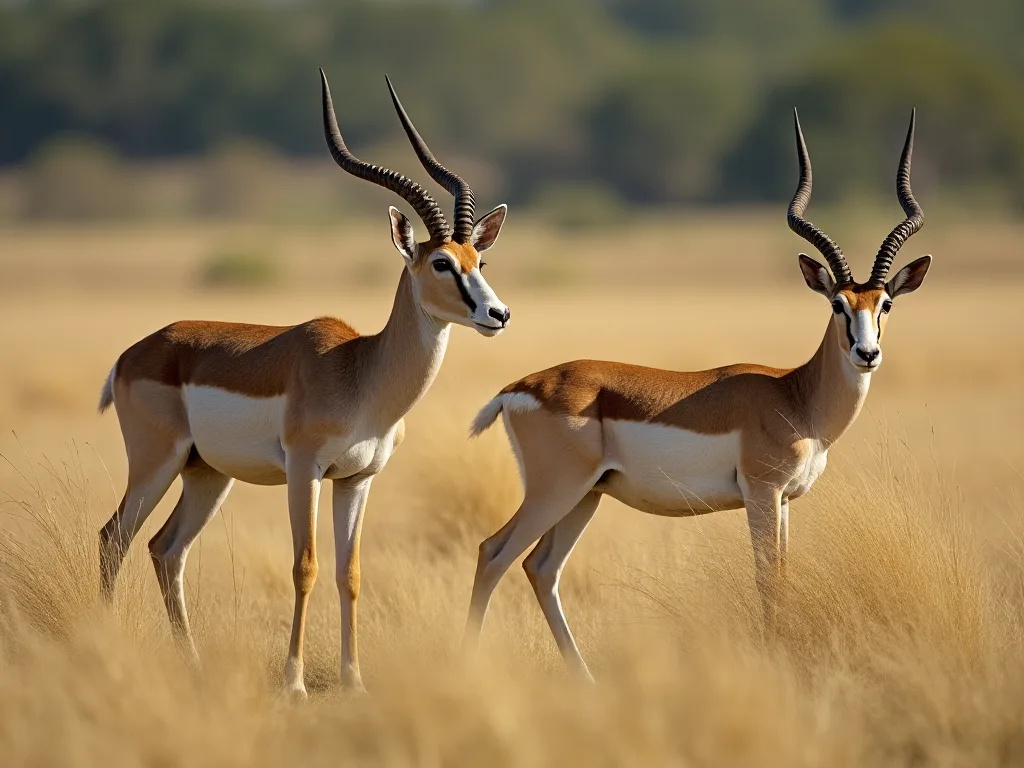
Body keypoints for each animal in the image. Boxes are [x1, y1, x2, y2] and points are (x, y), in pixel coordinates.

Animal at [97, 70, 511, 695]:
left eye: (477, 261)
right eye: (441, 262)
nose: (498, 314)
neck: (362, 376)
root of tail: (135, 352)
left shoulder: (357, 479)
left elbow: (350, 573)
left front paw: (354, 681)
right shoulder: (304, 470)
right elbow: (306, 565)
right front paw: (293, 682)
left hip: (206, 475)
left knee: (164, 549)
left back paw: (191, 663)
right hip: (155, 464)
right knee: (113, 540)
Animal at [465, 111, 931, 679]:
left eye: (885, 304)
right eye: (838, 305)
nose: (867, 353)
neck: (795, 397)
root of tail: (518, 388)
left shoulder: (785, 501)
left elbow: (783, 574)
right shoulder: (761, 494)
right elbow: (767, 579)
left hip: (586, 495)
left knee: (541, 566)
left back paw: (586, 677)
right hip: (555, 490)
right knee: (493, 553)